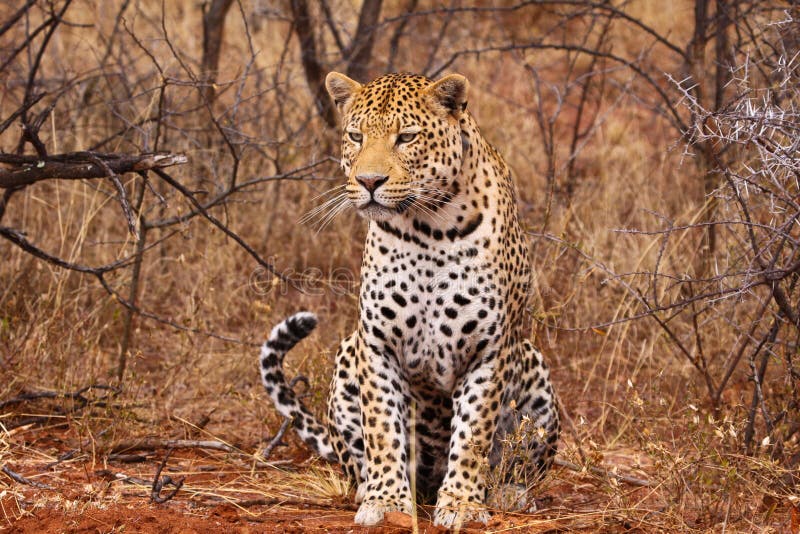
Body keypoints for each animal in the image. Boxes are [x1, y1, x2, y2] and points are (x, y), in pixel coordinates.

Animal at [258, 72, 560, 529]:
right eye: (356, 136)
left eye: (406, 137)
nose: (368, 182)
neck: (428, 228)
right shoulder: (377, 344)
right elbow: (382, 428)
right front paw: (385, 501)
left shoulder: (488, 351)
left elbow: (473, 435)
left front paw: (462, 504)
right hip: (347, 355)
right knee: (356, 458)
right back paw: (369, 486)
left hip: (536, 369)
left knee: (517, 464)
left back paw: (509, 492)